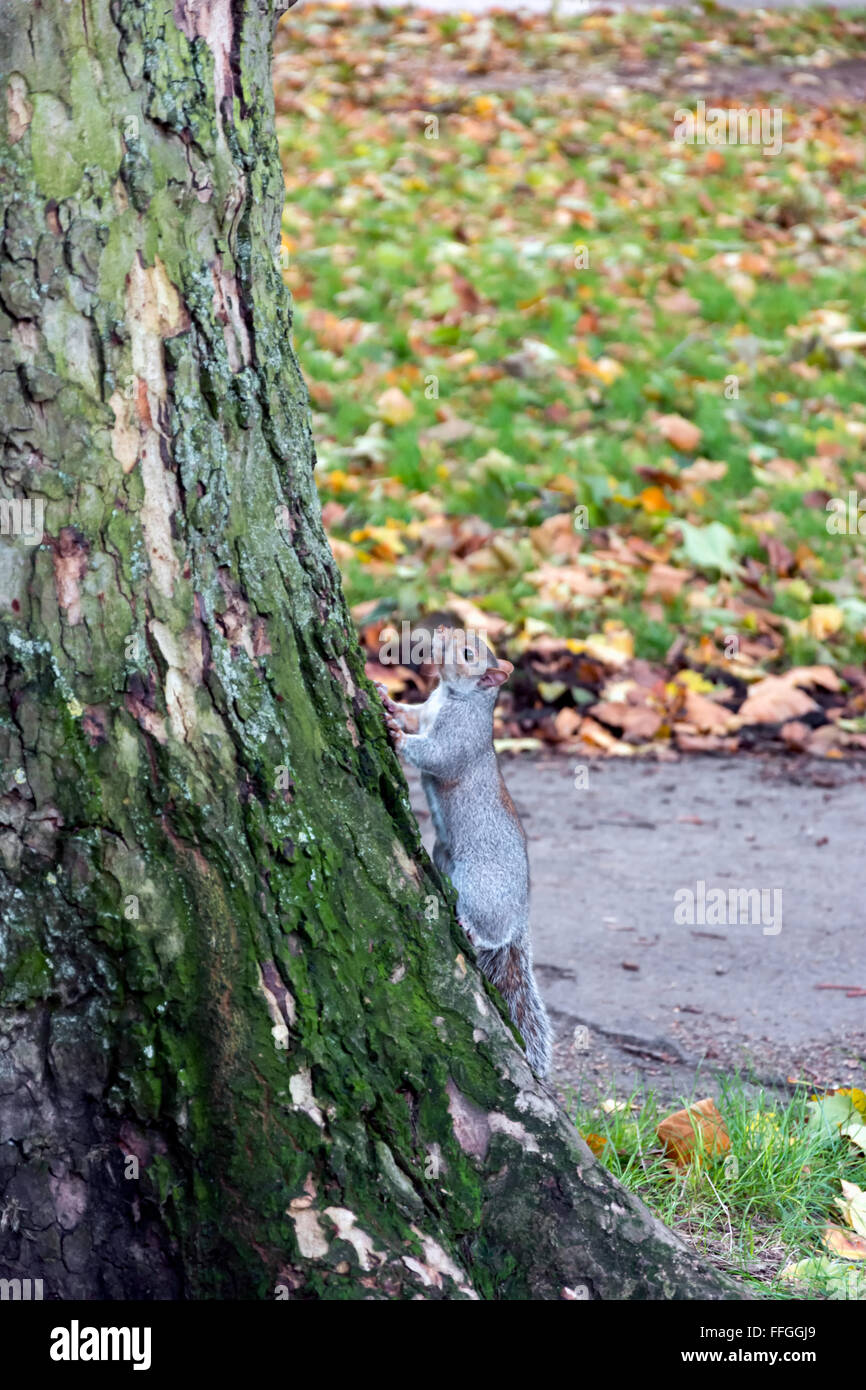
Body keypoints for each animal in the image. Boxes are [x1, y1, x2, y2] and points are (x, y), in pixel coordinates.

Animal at [376, 625, 552, 1077]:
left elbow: (435, 754)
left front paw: (397, 735)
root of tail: (520, 911)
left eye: (470, 653)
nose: (440, 630)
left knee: (489, 933)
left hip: (480, 888)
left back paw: (473, 930)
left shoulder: (458, 740)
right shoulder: (425, 711)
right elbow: (411, 714)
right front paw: (387, 700)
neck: (451, 697)